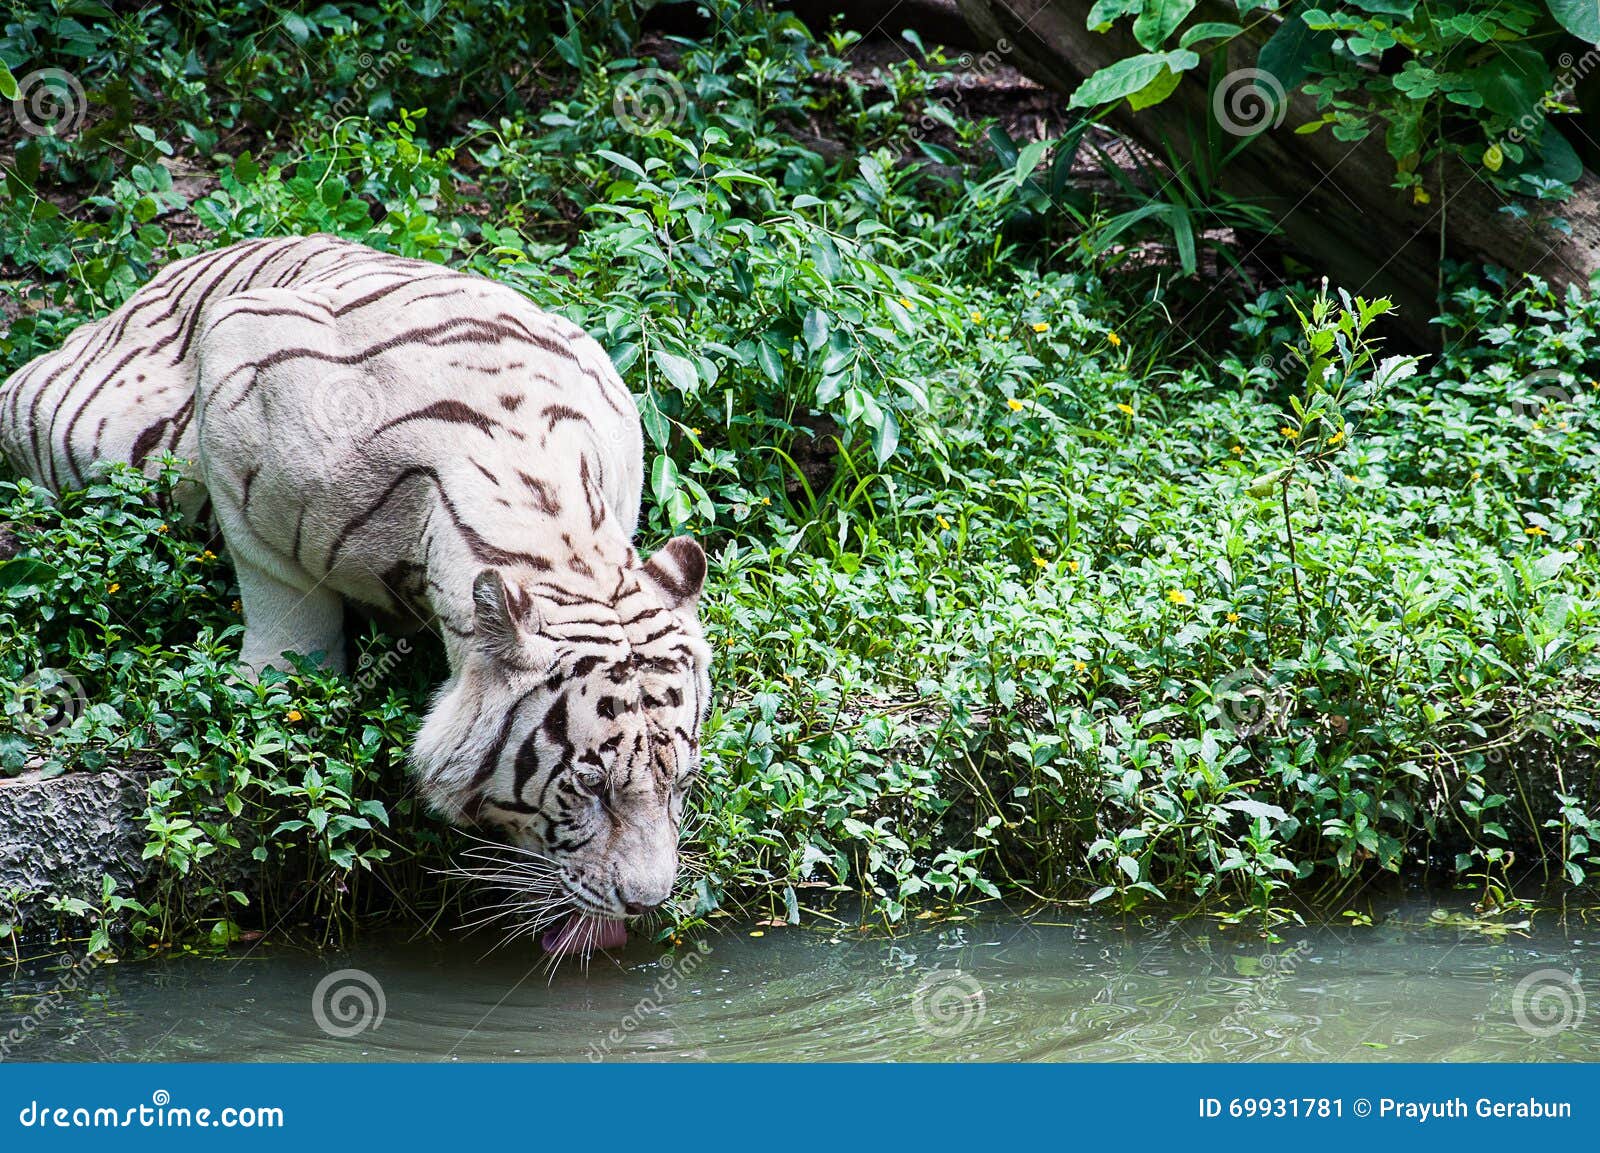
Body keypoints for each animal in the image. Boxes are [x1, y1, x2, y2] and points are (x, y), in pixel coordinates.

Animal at [0, 233, 712, 956]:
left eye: (681, 781)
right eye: (590, 785)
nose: (647, 900)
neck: (557, 528)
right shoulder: (242, 371)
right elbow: (279, 594)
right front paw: (279, 683)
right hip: (80, 426)